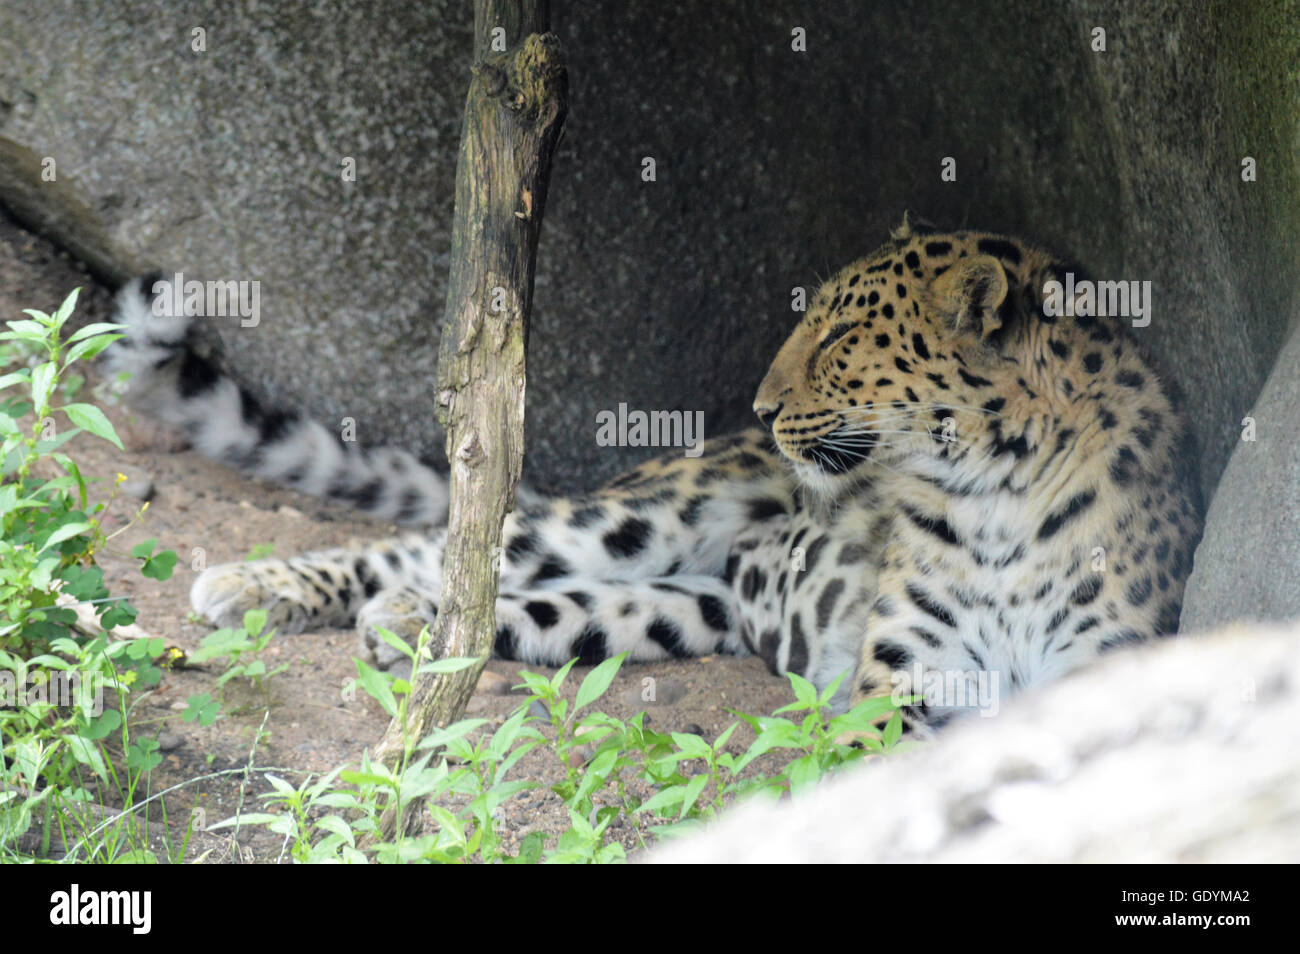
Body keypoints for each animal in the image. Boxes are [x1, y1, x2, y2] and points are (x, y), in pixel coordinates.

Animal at [102, 215, 1202, 731]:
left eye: (841, 336)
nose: (761, 404)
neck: (992, 500)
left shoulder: (1106, 673)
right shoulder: (904, 679)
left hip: (685, 603)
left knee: (538, 611)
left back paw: (406, 628)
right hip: (650, 515)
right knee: (453, 545)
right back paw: (261, 588)